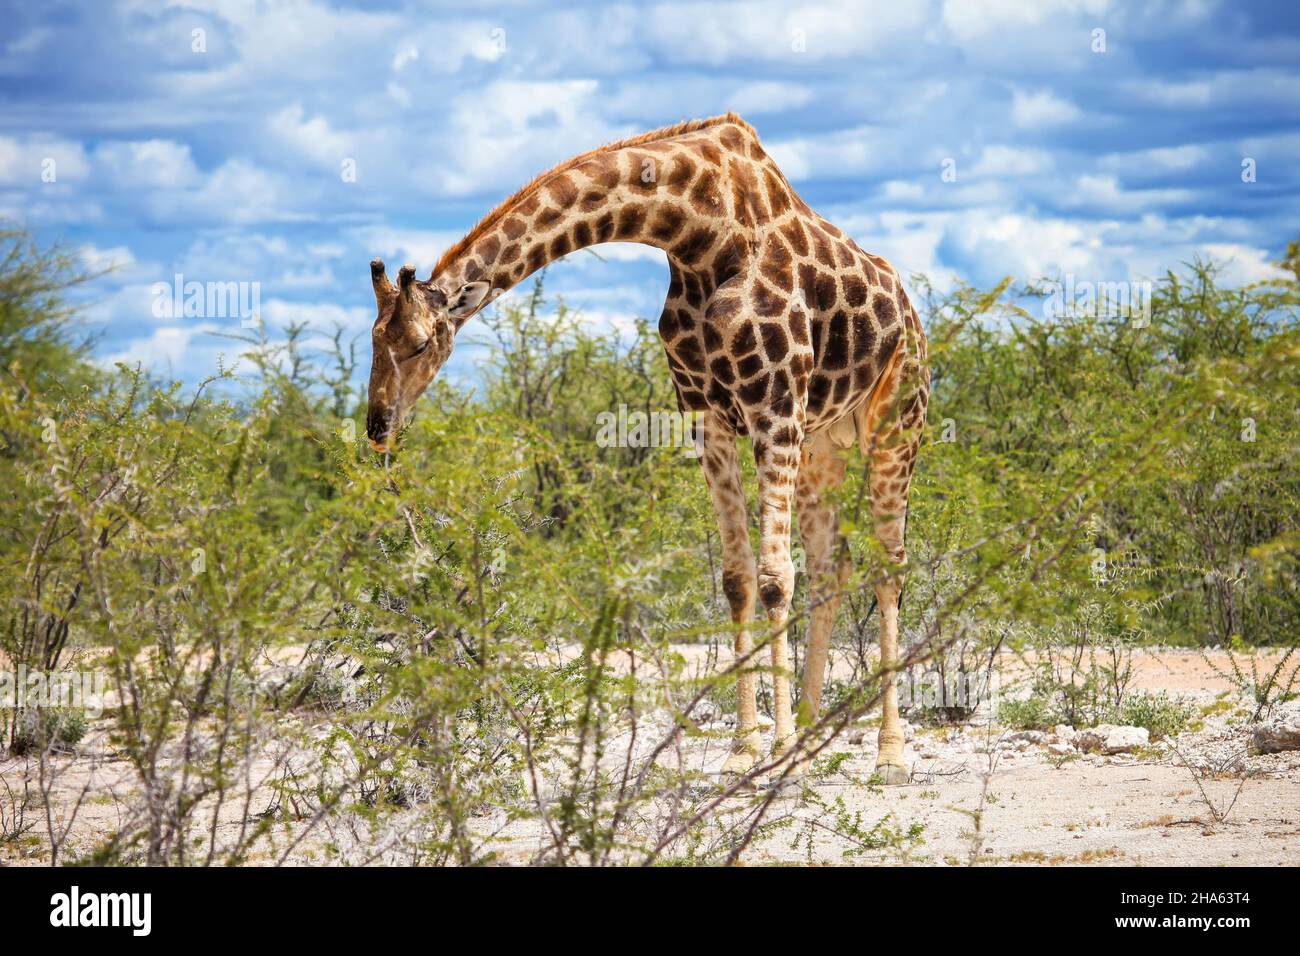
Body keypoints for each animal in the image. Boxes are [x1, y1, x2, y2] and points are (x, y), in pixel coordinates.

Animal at [365, 113, 929, 785]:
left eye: (422, 343)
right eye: (372, 339)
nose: (378, 425)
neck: (699, 235)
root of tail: (911, 313)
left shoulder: (773, 408)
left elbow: (774, 578)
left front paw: (778, 751)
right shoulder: (709, 417)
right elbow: (738, 578)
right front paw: (748, 749)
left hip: (896, 419)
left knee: (890, 564)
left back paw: (889, 754)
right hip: (824, 439)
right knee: (830, 565)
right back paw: (816, 735)